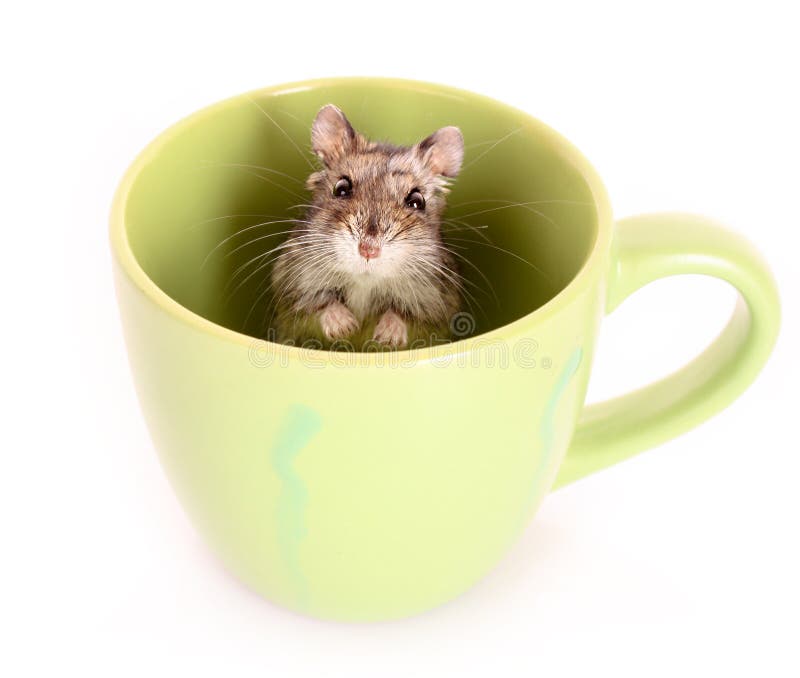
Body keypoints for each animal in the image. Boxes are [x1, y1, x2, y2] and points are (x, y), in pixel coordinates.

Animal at [270, 104, 464, 350]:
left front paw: (386, 338)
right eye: (341, 188)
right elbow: (318, 304)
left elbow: (405, 316)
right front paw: (346, 327)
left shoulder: (436, 305)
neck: (365, 281)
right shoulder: (291, 288)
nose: (368, 250)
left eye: (416, 201)